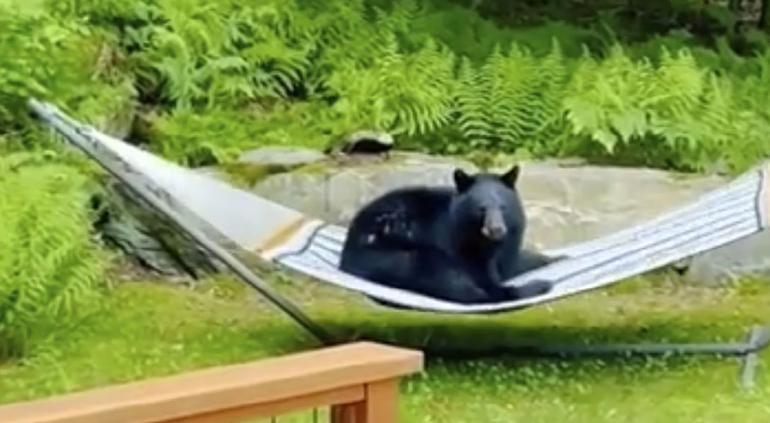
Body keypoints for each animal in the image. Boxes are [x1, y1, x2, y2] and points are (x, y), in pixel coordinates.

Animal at [338, 164, 561, 305]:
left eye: (503, 207)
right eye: (481, 209)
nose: (496, 229)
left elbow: (515, 262)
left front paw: (555, 258)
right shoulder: (457, 243)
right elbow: (483, 277)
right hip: (398, 255)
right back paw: (539, 285)